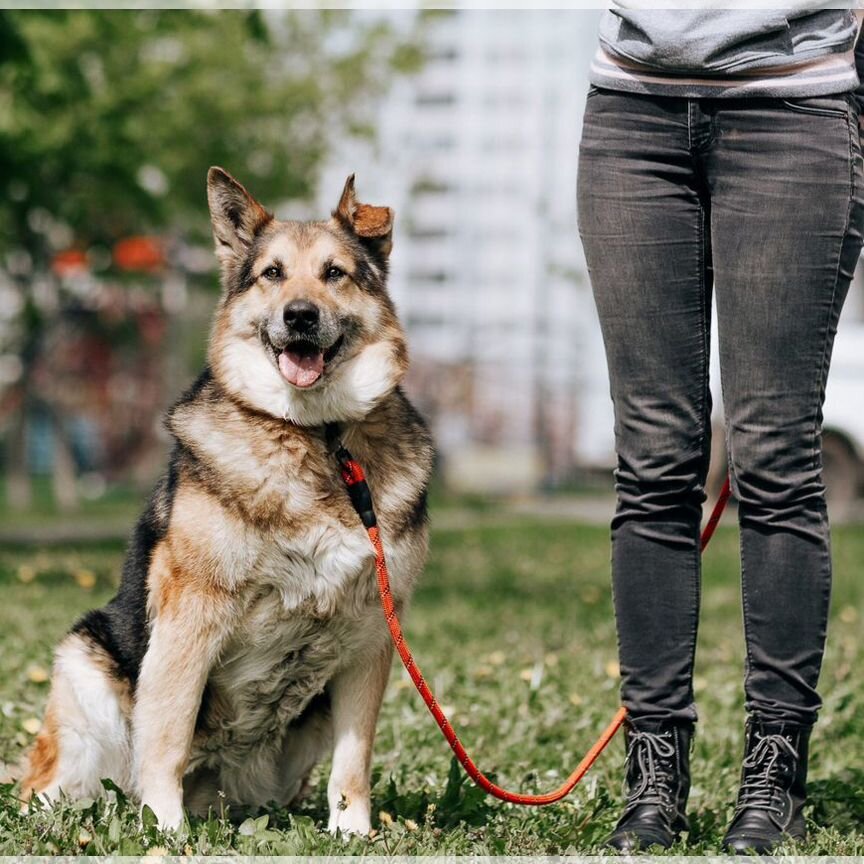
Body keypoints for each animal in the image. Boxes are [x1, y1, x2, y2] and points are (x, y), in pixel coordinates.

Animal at [21, 165, 436, 832]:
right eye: (271, 273)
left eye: (334, 273)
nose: (299, 316)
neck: (315, 434)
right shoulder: (192, 615)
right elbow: (166, 736)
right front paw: (164, 831)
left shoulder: (371, 635)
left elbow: (353, 761)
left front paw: (353, 832)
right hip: (85, 671)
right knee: (58, 785)